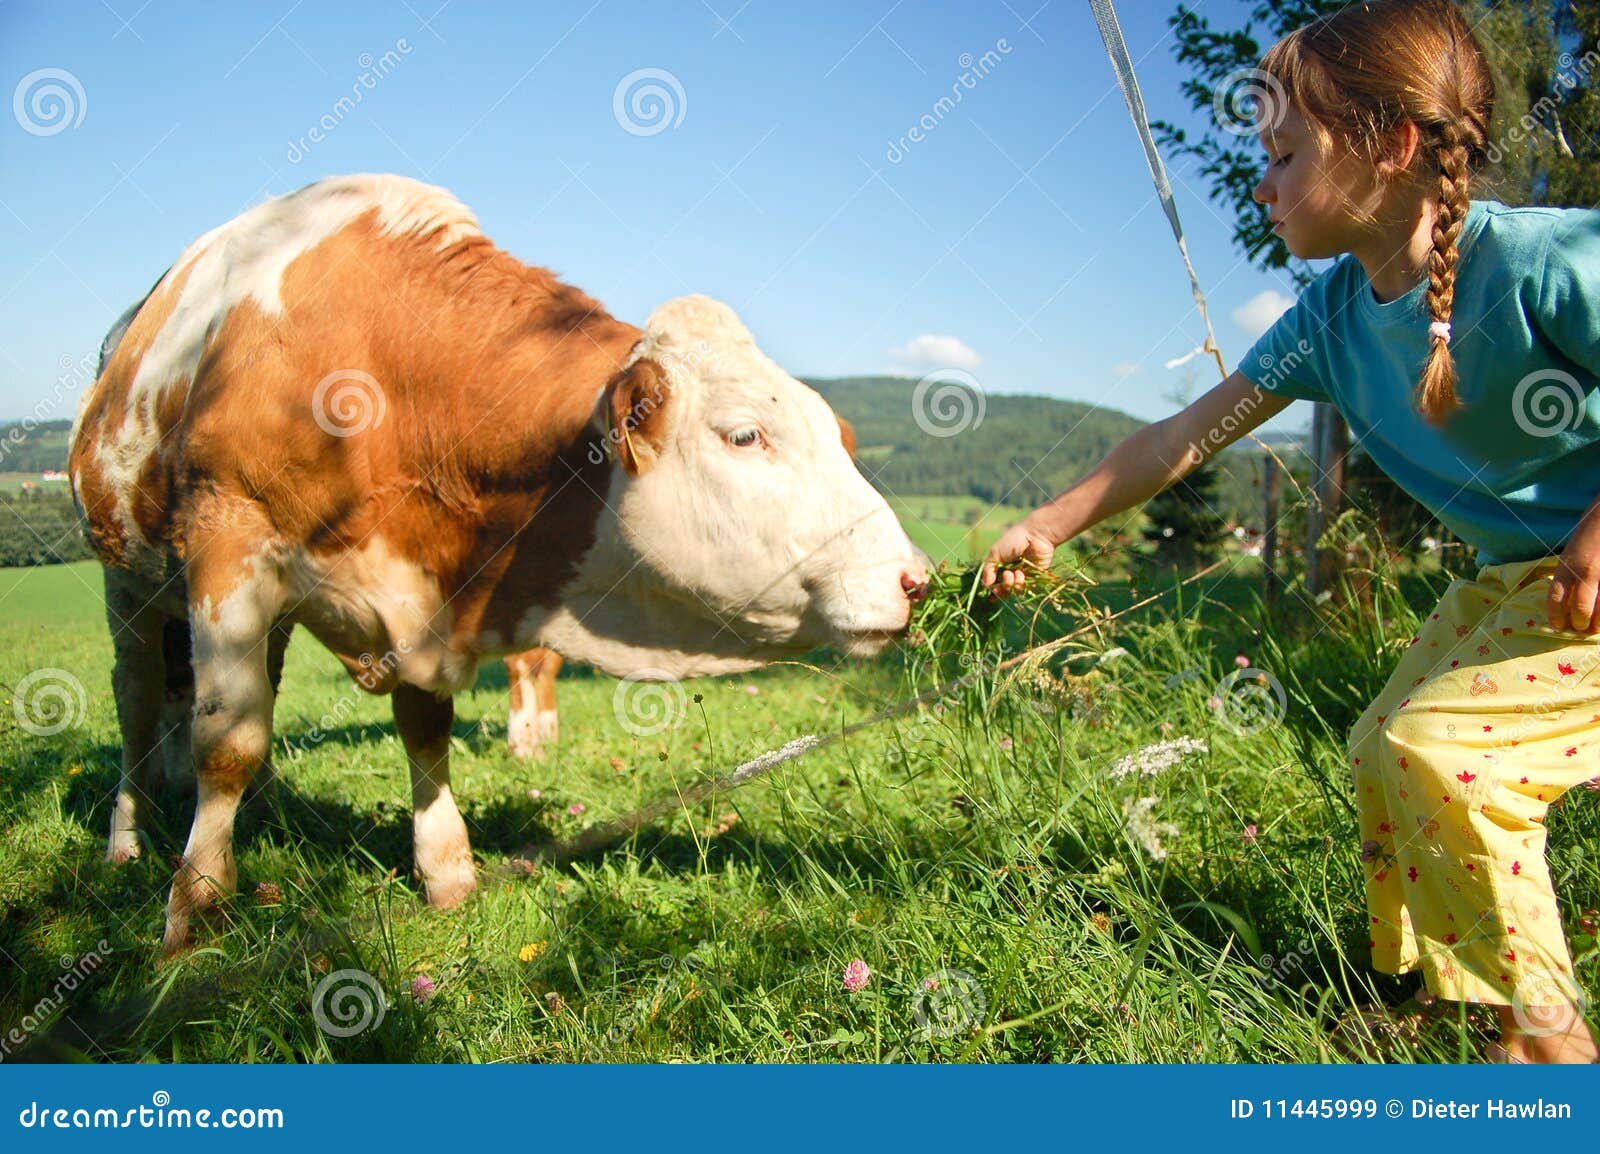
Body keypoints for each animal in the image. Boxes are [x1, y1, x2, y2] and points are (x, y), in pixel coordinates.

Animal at [69, 173, 927, 953]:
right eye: (745, 435)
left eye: (842, 433)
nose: (916, 578)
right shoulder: (231, 545)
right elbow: (227, 741)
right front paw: (195, 910)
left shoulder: (420, 599)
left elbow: (423, 728)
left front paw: (446, 871)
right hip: (129, 582)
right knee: (140, 701)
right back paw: (128, 839)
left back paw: (265, 805)